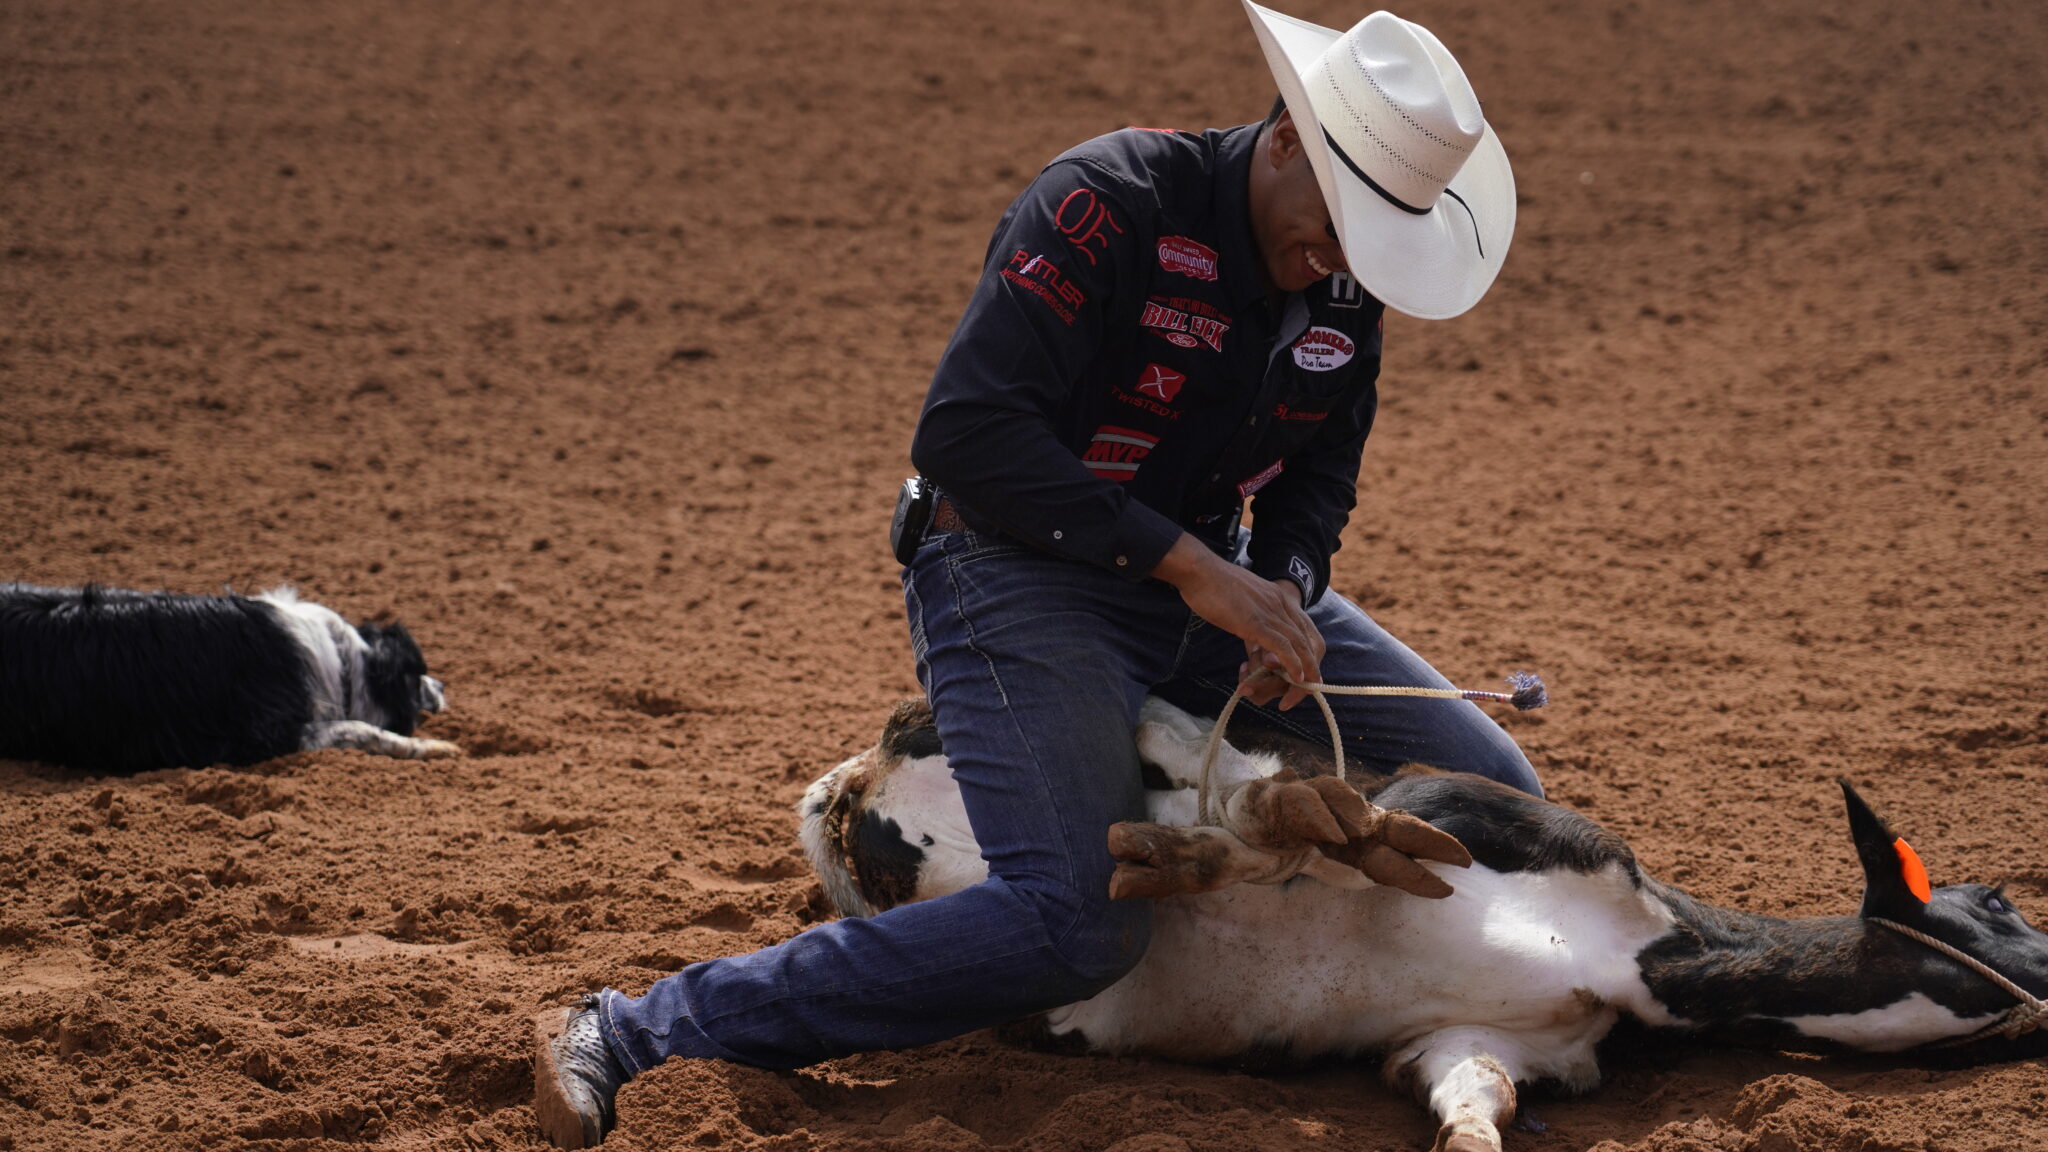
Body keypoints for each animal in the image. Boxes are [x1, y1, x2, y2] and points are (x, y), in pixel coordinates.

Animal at [800, 696, 2048, 1152]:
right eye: (1998, 897)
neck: (1636, 959)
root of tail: (875, 755)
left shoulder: (1466, 1045)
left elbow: (1470, 1099)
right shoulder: (1432, 811)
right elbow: (1286, 816)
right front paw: (1220, 842)